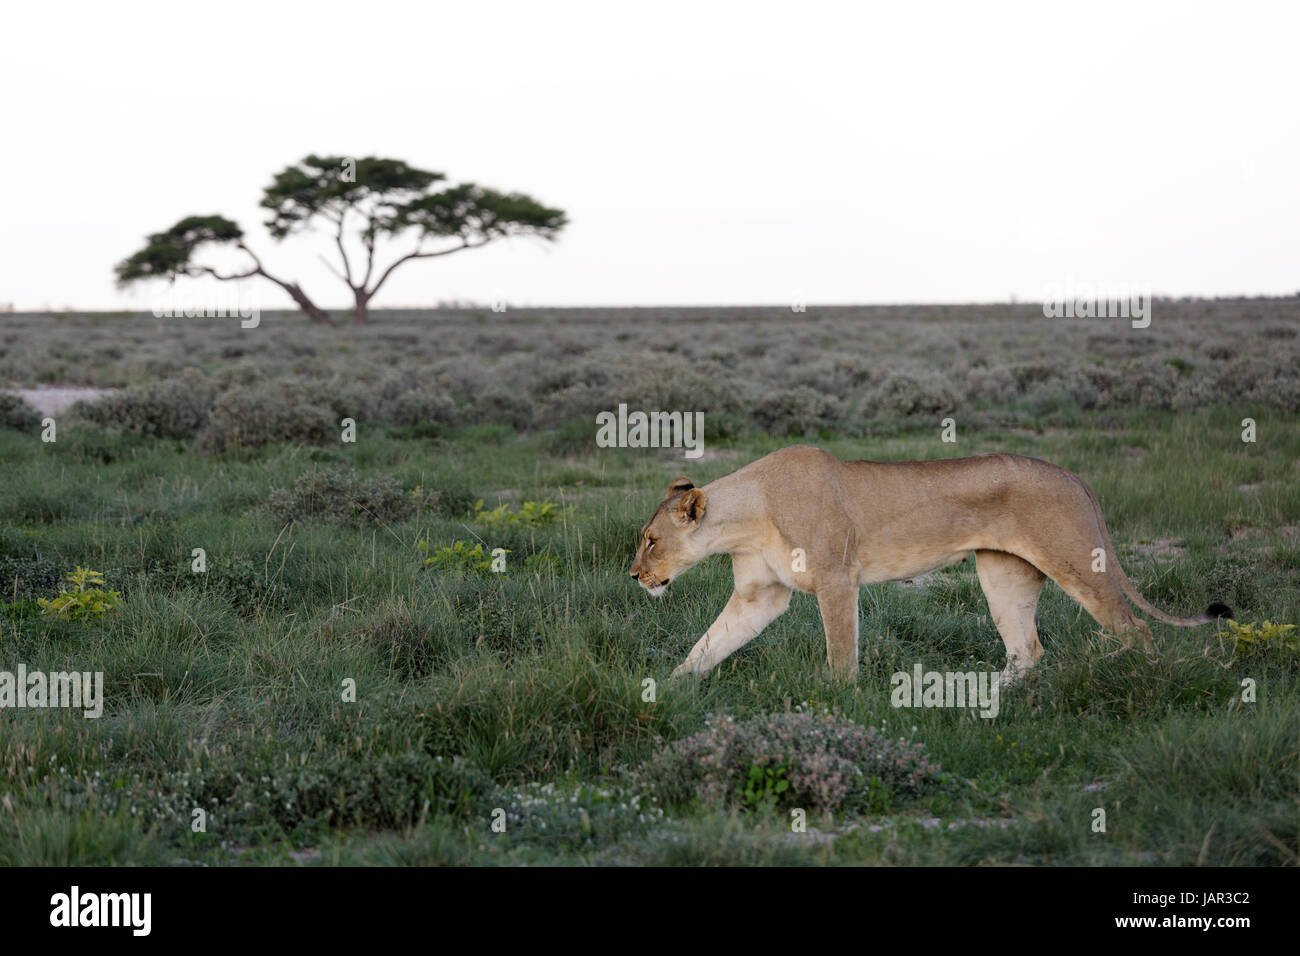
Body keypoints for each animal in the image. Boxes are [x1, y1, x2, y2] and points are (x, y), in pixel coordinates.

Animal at [628, 445, 1231, 684]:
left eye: (651, 540)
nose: (633, 576)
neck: (748, 513)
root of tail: (1074, 476)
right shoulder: (761, 593)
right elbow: (708, 643)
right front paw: (671, 687)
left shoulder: (836, 578)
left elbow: (840, 653)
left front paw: (836, 704)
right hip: (1001, 574)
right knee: (1026, 650)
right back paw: (987, 698)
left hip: (1079, 562)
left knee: (1136, 629)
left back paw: (1146, 683)